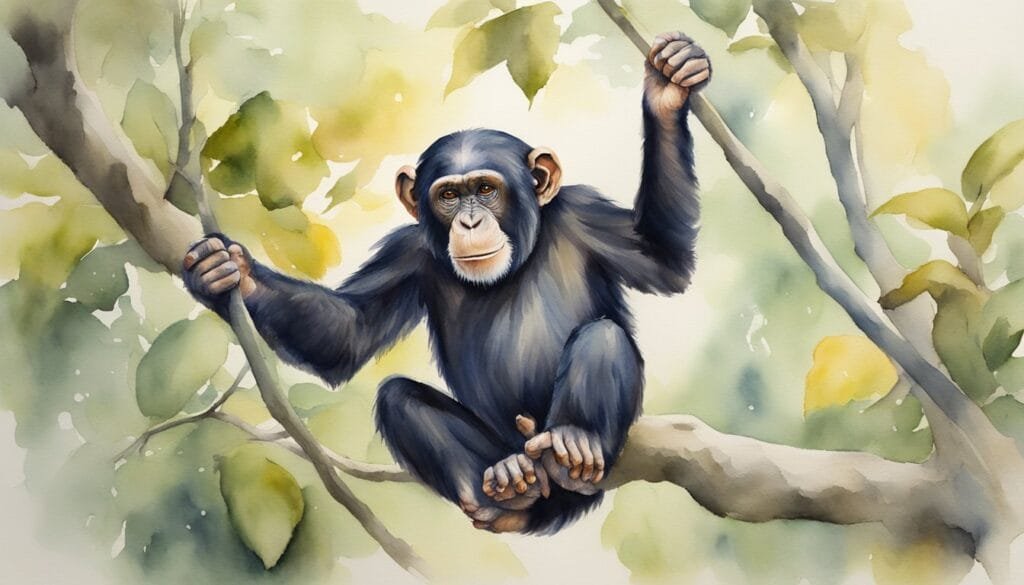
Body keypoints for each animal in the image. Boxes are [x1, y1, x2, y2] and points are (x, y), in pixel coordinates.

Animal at [184, 31, 709, 534]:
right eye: (449, 196)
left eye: (487, 189)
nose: (470, 222)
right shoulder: (407, 252)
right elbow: (348, 333)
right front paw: (227, 269)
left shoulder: (584, 214)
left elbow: (661, 258)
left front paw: (668, 87)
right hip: (498, 448)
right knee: (399, 398)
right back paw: (508, 489)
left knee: (603, 336)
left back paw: (573, 445)